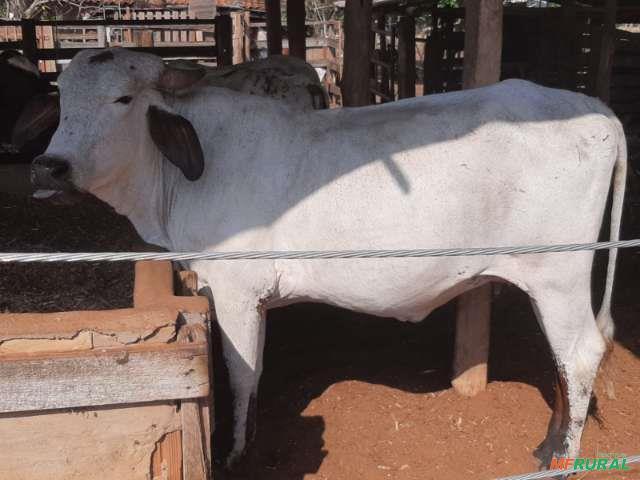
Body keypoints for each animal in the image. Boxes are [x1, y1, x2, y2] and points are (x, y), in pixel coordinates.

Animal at [30, 48, 626, 471]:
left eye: (122, 100)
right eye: (63, 99)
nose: (50, 166)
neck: (177, 176)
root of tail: (595, 110)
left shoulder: (236, 291)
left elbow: (242, 372)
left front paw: (234, 452)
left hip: (557, 275)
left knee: (579, 353)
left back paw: (560, 457)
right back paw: (549, 443)